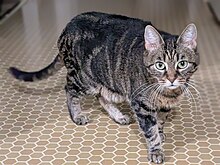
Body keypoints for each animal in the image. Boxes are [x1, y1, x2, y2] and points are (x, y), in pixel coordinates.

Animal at [9, 11, 200, 164]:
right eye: (160, 65)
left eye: (182, 64)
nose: (172, 79)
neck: (167, 94)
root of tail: (67, 28)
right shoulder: (141, 105)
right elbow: (151, 131)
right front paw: (156, 150)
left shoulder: (165, 106)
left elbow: (159, 122)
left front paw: (160, 133)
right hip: (85, 80)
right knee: (69, 89)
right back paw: (77, 115)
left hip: (111, 83)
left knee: (102, 98)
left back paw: (119, 116)